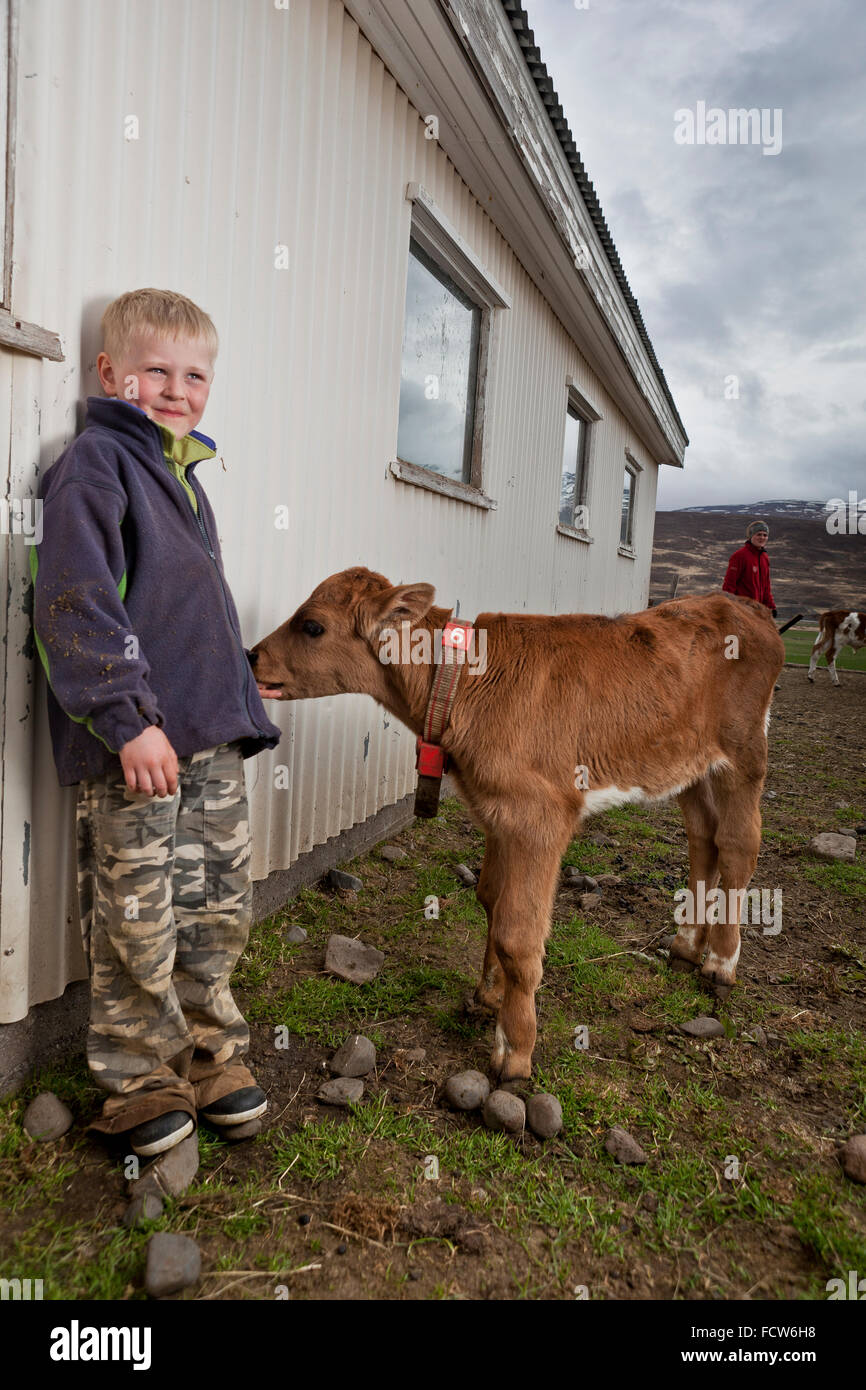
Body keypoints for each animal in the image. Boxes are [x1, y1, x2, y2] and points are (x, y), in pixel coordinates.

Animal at [249, 568, 785, 1082]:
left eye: (312, 625)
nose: (251, 656)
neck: (467, 683)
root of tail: (742, 605)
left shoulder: (540, 816)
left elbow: (518, 935)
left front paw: (515, 1048)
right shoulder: (496, 813)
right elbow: (491, 899)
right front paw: (489, 994)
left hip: (744, 753)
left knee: (738, 844)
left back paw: (720, 961)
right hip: (690, 764)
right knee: (703, 838)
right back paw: (687, 943)